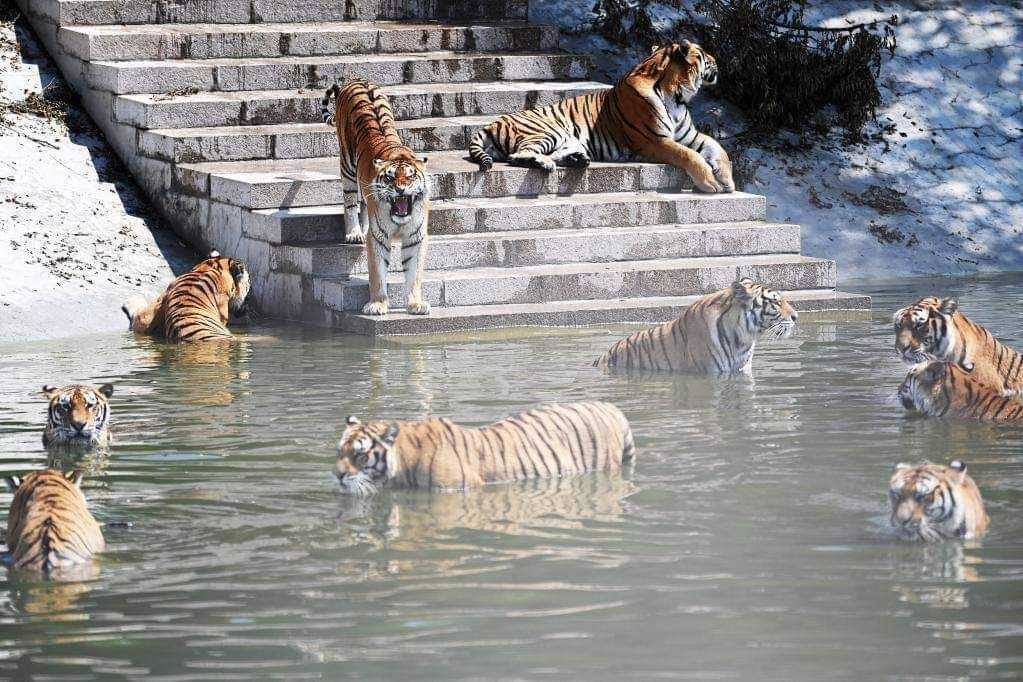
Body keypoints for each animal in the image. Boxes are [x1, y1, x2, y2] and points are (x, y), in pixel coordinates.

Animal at [321, 79, 430, 316]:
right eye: (390, 178)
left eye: (410, 177)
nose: (400, 190)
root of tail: (355, 79)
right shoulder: (378, 238)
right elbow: (377, 273)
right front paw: (377, 304)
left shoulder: (416, 237)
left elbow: (414, 273)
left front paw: (415, 303)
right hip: (348, 167)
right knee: (350, 203)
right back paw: (354, 233)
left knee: (362, 205)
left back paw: (361, 229)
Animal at [468, 41, 733, 193]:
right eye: (704, 54)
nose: (718, 60)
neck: (678, 96)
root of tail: (493, 123)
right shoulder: (653, 140)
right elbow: (688, 155)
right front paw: (710, 183)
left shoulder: (690, 135)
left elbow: (718, 149)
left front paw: (728, 182)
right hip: (549, 131)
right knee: (518, 155)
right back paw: (546, 163)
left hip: (566, 138)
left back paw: (577, 159)